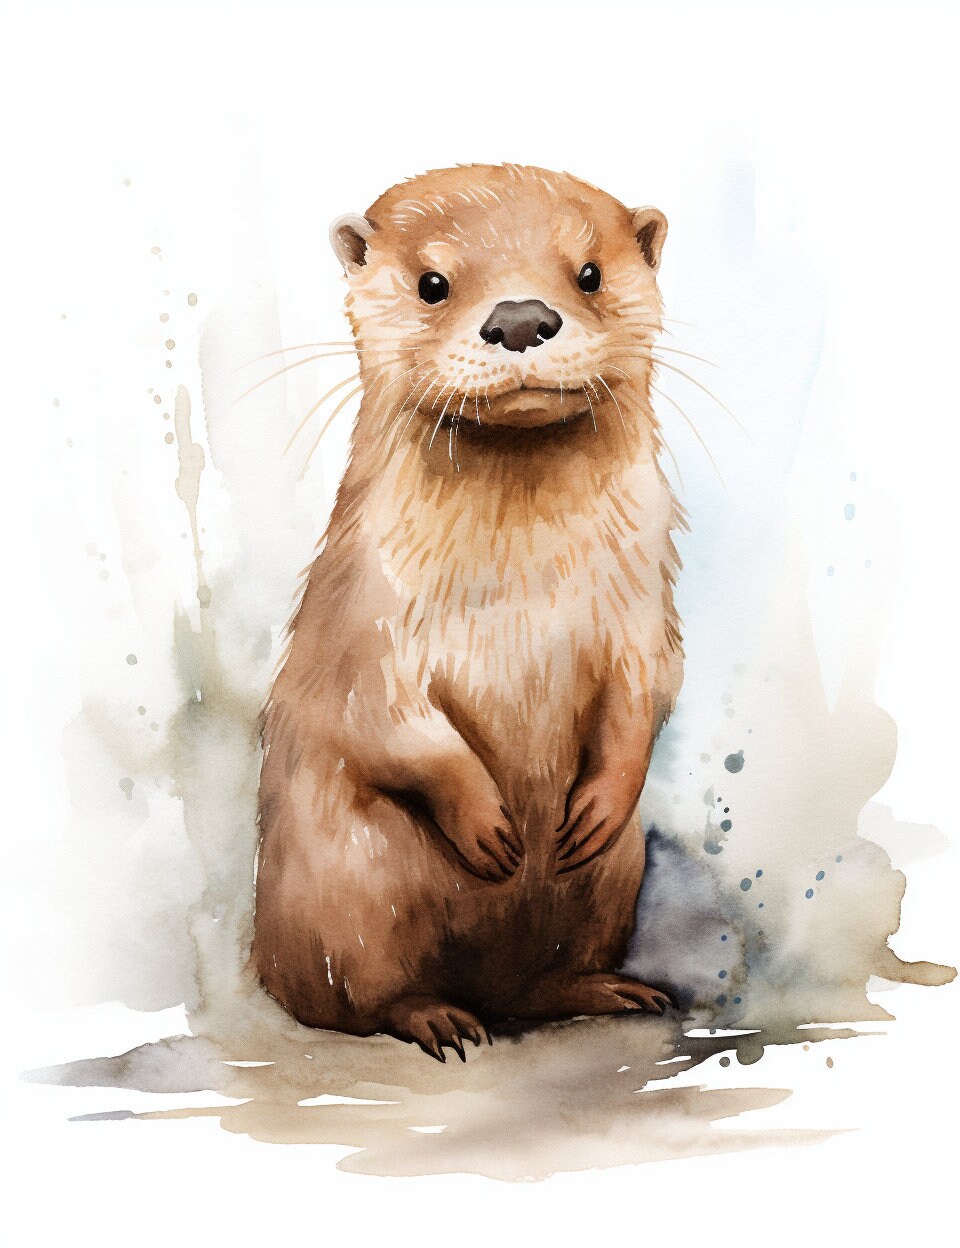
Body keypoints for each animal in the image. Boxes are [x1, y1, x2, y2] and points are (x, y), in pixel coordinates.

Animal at [252, 164, 685, 1061]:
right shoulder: (367, 621)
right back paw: (440, 1019)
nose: (520, 317)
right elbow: (389, 722)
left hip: (611, 883)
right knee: (359, 995)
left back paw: (605, 989)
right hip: (343, 891)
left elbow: (647, 691)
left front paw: (595, 804)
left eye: (589, 273)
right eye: (433, 283)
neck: (525, 591)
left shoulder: (644, 604)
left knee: (537, 979)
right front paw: (488, 827)